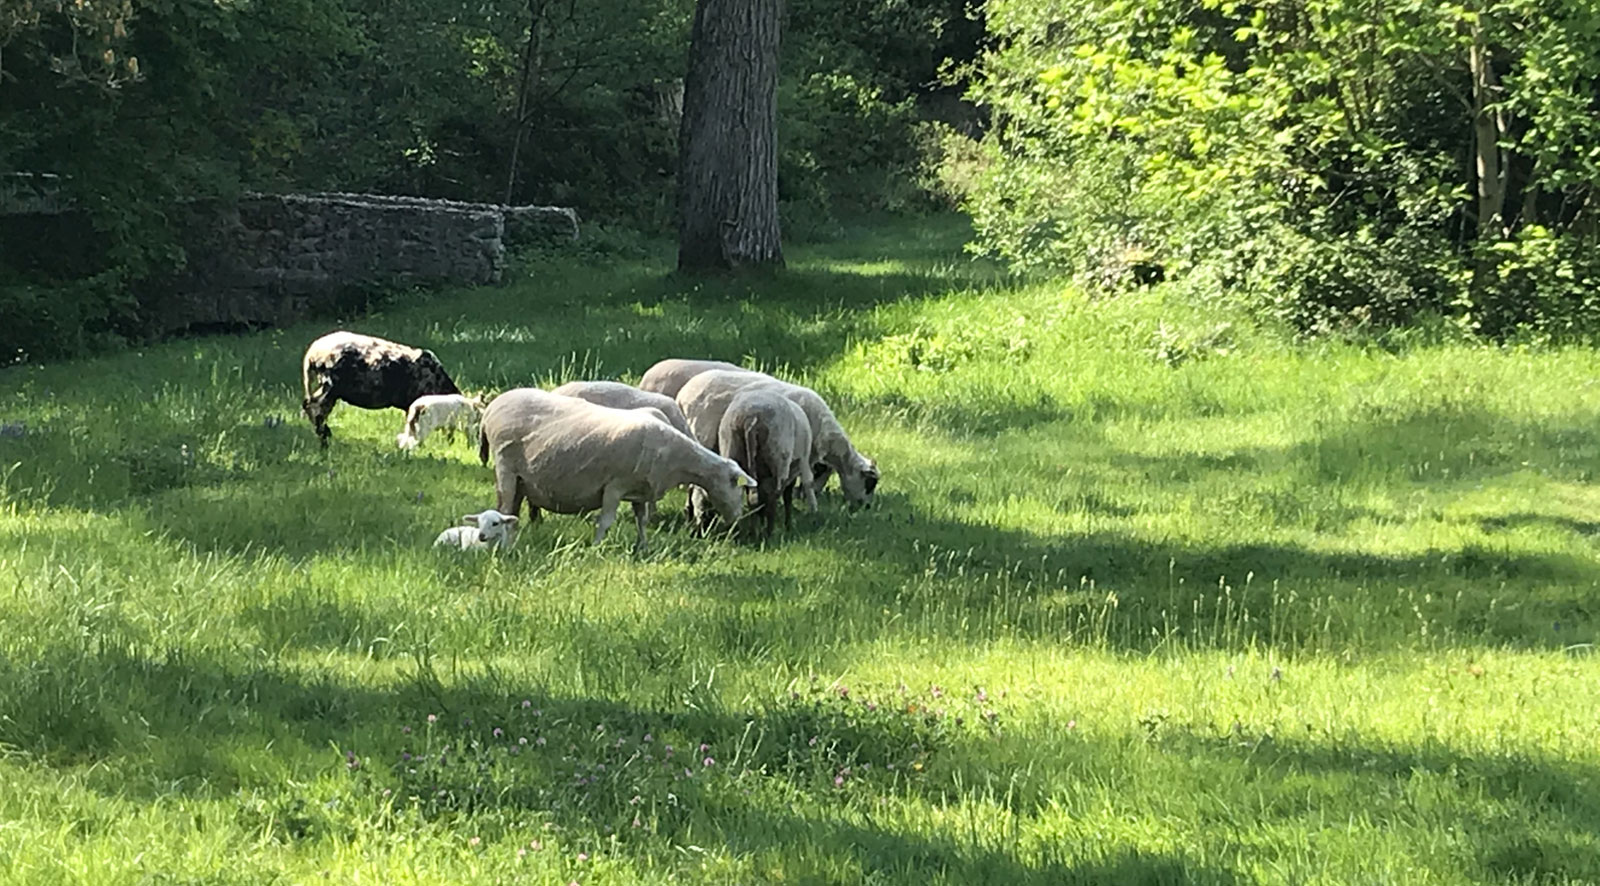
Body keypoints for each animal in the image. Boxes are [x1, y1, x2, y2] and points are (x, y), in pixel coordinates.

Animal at [302, 327, 460, 444]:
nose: (452, 442)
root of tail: (311, 354)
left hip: (329, 389)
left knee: (311, 406)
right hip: (330, 385)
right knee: (312, 406)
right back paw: (324, 436)